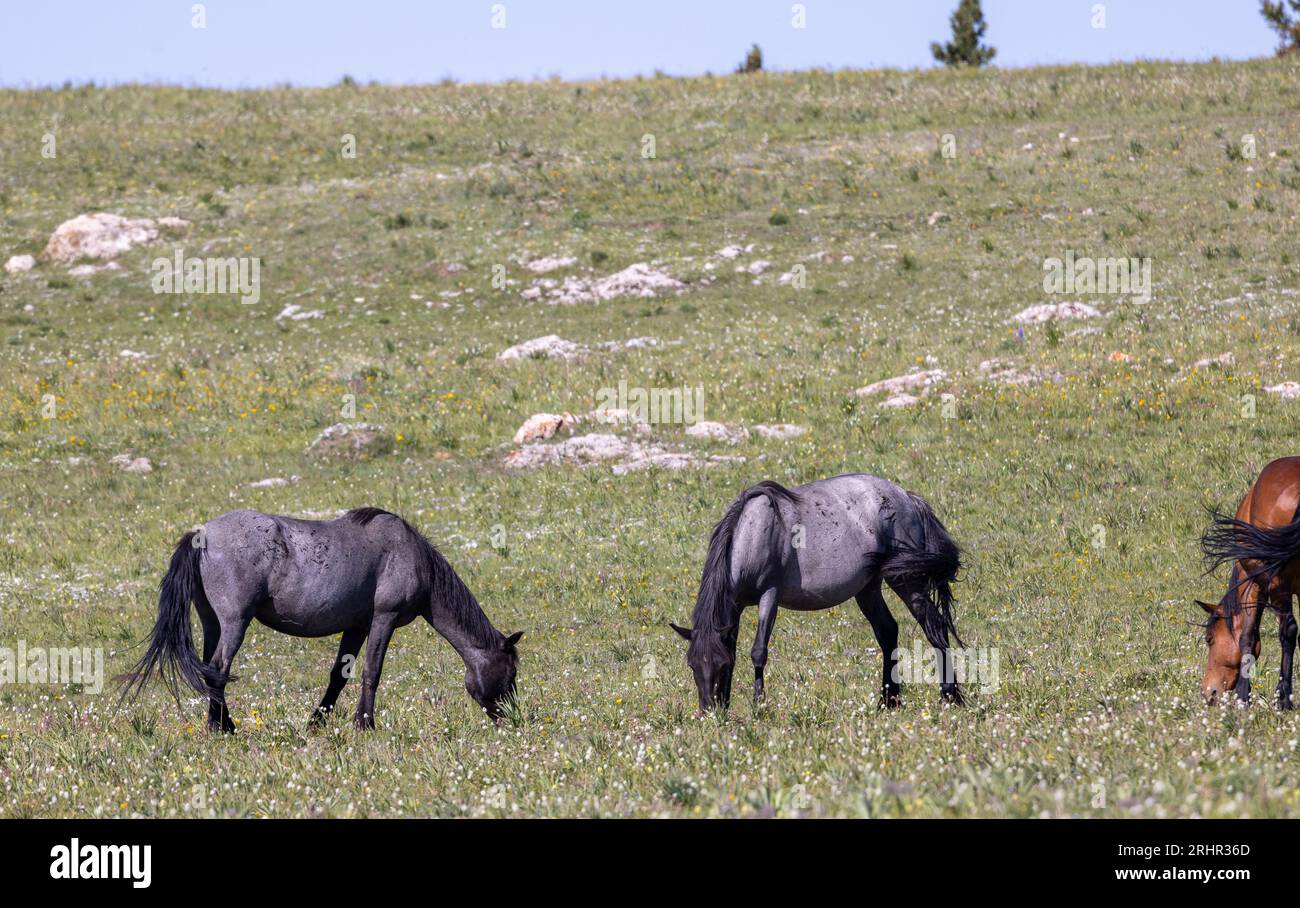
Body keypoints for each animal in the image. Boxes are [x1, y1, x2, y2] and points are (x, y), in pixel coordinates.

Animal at [123, 507, 523, 731]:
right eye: (510, 675)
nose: (512, 719)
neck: (410, 555)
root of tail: (200, 534)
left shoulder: (357, 626)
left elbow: (339, 676)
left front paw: (317, 722)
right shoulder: (384, 619)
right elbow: (372, 672)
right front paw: (365, 724)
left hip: (211, 622)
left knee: (208, 669)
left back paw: (217, 724)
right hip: (235, 623)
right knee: (219, 668)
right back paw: (225, 728)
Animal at [669, 474, 966, 712]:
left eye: (717, 666)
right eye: (692, 665)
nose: (708, 712)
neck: (751, 534)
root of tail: (908, 497)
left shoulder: (769, 596)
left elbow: (758, 651)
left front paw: (759, 707)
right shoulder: (736, 606)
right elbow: (732, 647)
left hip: (906, 581)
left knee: (934, 626)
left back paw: (951, 697)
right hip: (868, 588)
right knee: (888, 632)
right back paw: (888, 702)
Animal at [1200, 456, 1300, 707]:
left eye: (1209, 639)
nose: (1209, 693)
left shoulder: (1254, 585)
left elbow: (1248, 636)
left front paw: (1243, 696)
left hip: (1277, 585)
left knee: (1288, 630)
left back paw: (1283, 699)